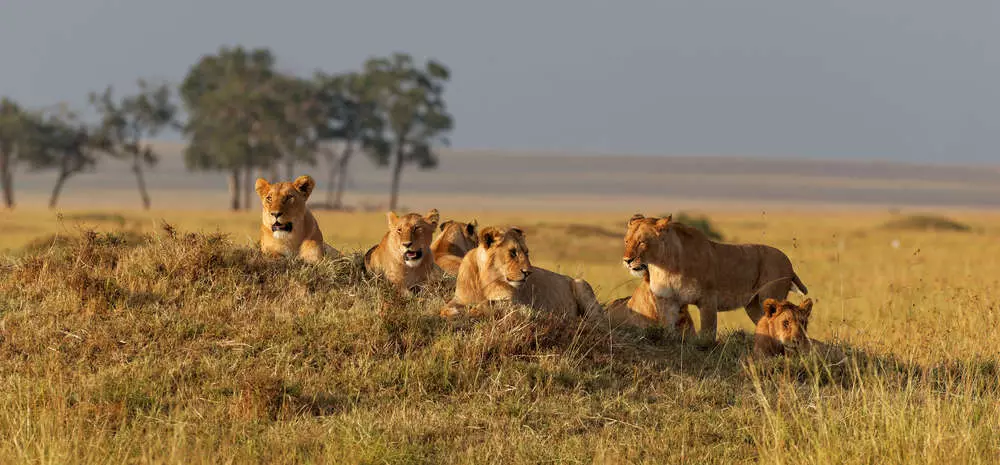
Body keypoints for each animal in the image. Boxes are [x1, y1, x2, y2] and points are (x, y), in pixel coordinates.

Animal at [446, 226, 600, 320]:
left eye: (526, 253)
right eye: (513, 253)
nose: (528, 272)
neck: (484, 281)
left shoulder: (517, 305)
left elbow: (489, 303)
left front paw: (473, 310)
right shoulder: (459, 298)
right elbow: (448, 307)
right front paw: (452, 312)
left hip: (580, 283)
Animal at [620, 214, 808, 340]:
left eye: (642, 242)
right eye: (626, 241)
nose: (627, 260)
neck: (664, 267)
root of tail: (789, 263)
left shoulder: (708, 299)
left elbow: (708, 333)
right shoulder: (667, 301)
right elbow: (668, 328)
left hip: (769, 297)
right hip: (754, 306)